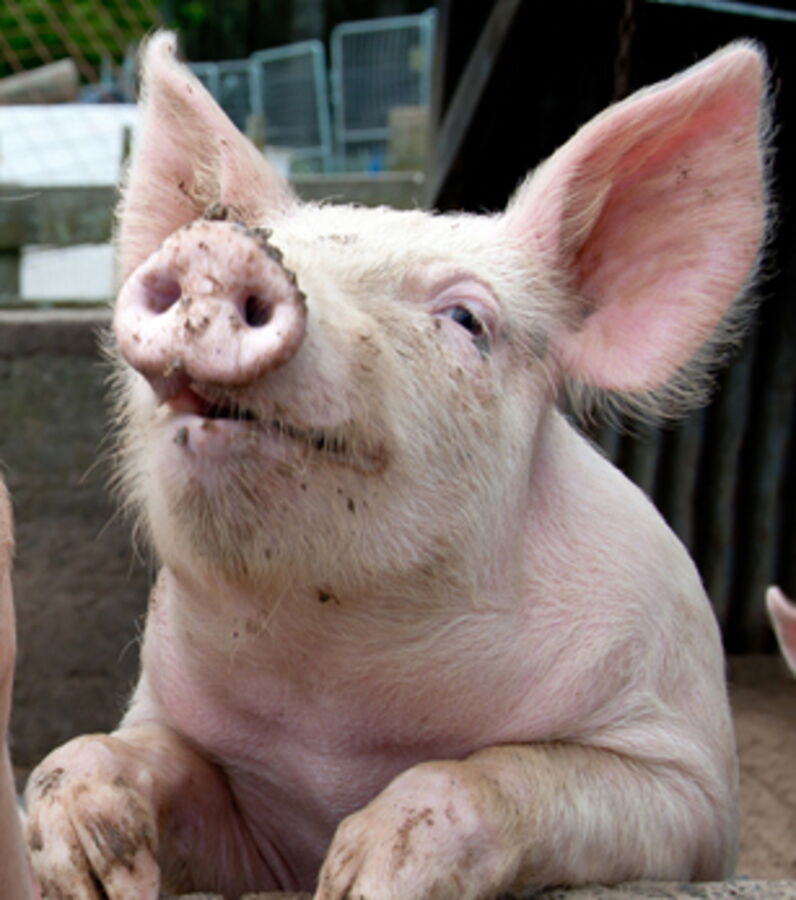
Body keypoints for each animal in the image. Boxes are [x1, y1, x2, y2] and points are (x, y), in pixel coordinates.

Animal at [23, 33, 767, 899]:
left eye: (468, 319)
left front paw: (361, 876)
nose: (219, 249)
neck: (340, 705)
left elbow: (518, 773)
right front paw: (93, 868)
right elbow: (122, 757)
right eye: (245, 240)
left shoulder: (689, 783)